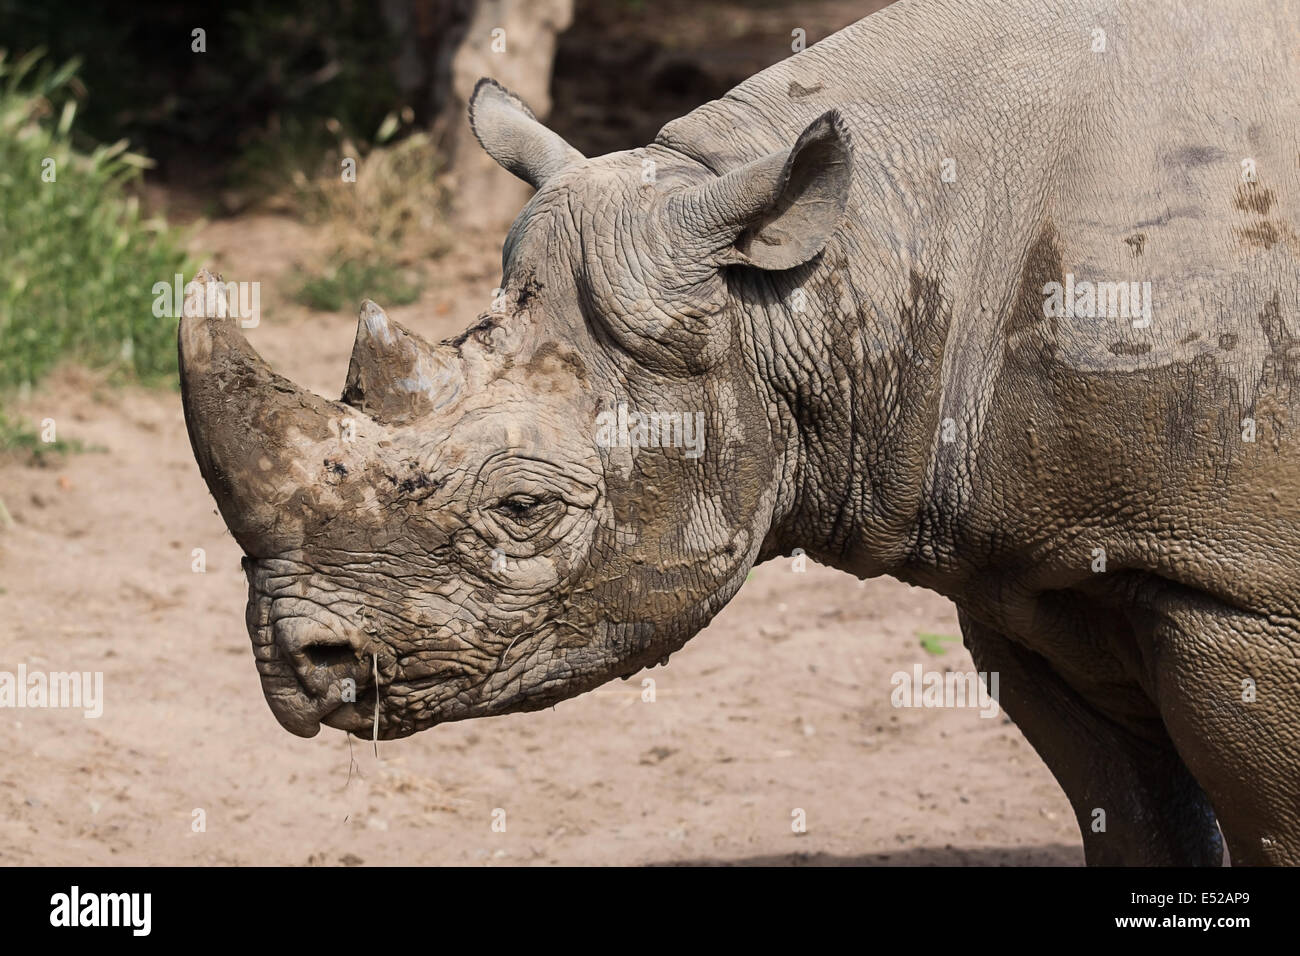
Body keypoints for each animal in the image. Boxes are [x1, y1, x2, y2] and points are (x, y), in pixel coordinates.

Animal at [179, 0, 1300, 865]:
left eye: (524, 508)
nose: (294, 664)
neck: (832, 269)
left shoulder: (1243, 596)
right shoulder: (1029, 565)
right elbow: (1132, 819)